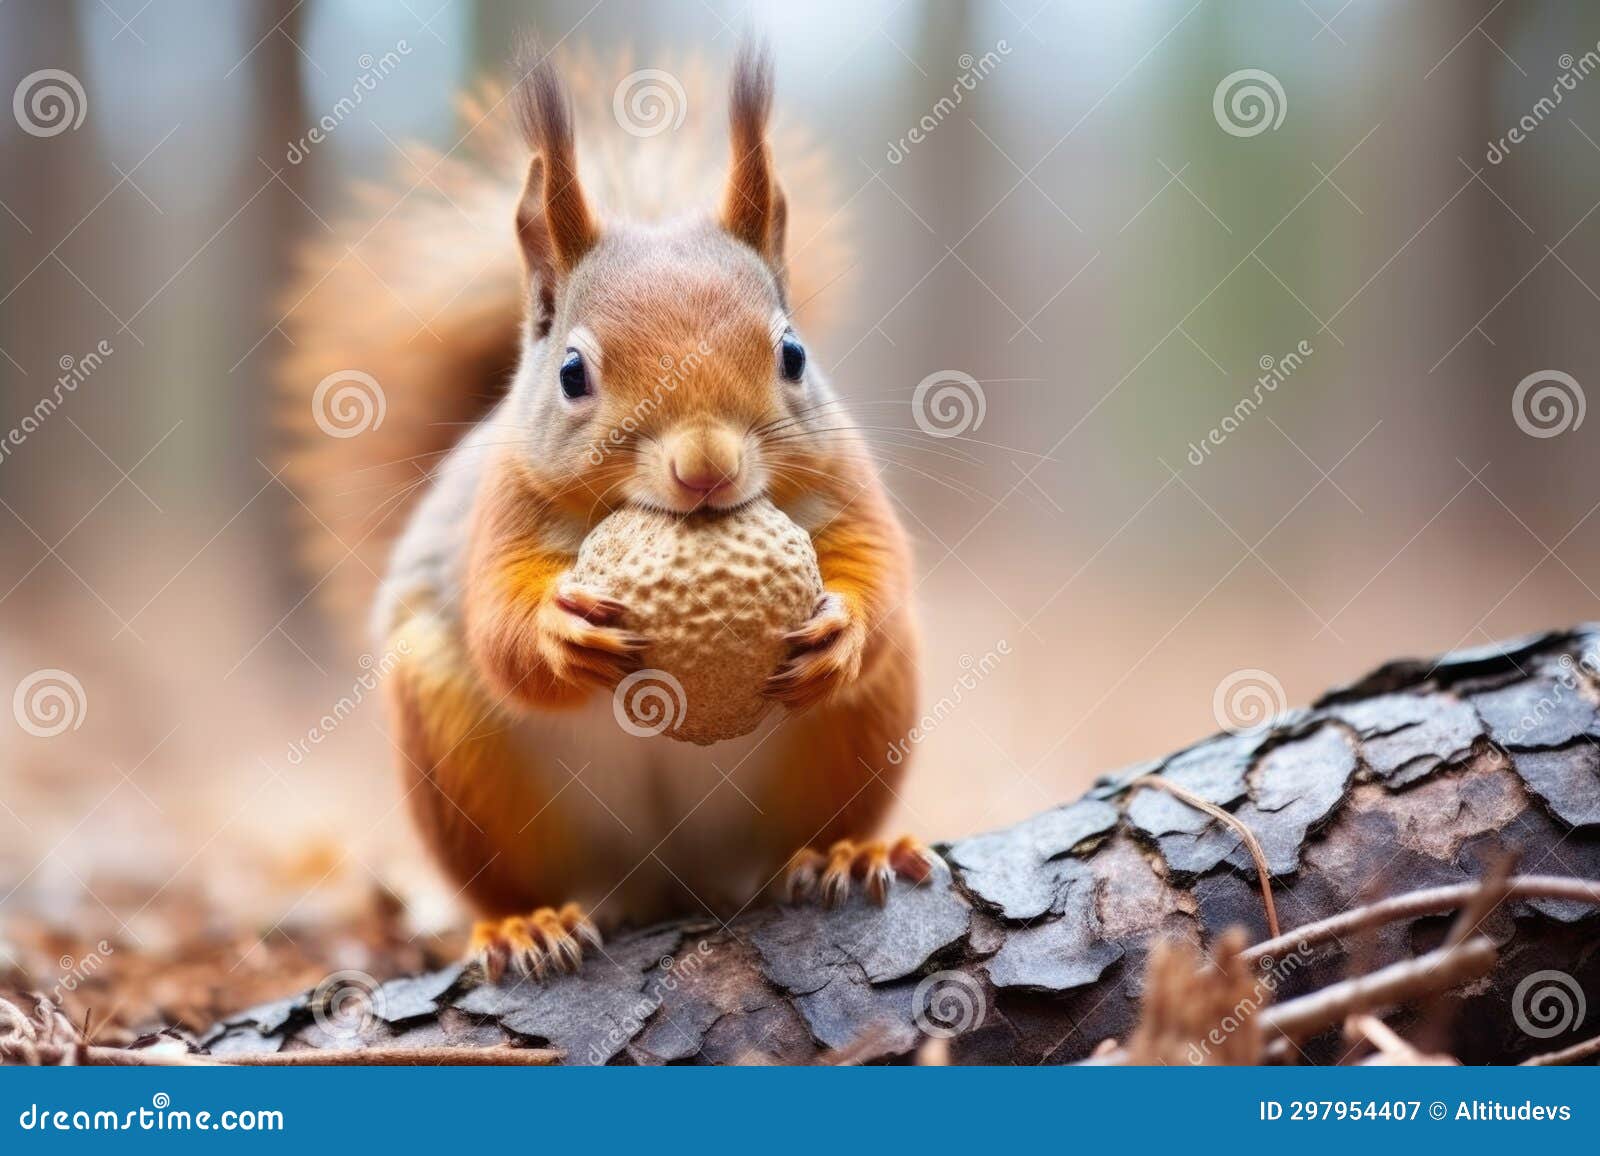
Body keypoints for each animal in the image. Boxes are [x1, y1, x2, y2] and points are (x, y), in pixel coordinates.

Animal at [277, 41, 930, 981]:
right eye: (572, 373)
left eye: (794, 354)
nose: (705, 466)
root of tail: (670, 880)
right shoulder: (498, 517)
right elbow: (498, 628)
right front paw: (561, 633)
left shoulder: (847, 485)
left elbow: (879, 565)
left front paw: (839, 629)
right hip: (462, 763)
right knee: (506, 878)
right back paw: (527, 925)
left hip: (854, 739)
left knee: (804, 835)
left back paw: (845, 854)